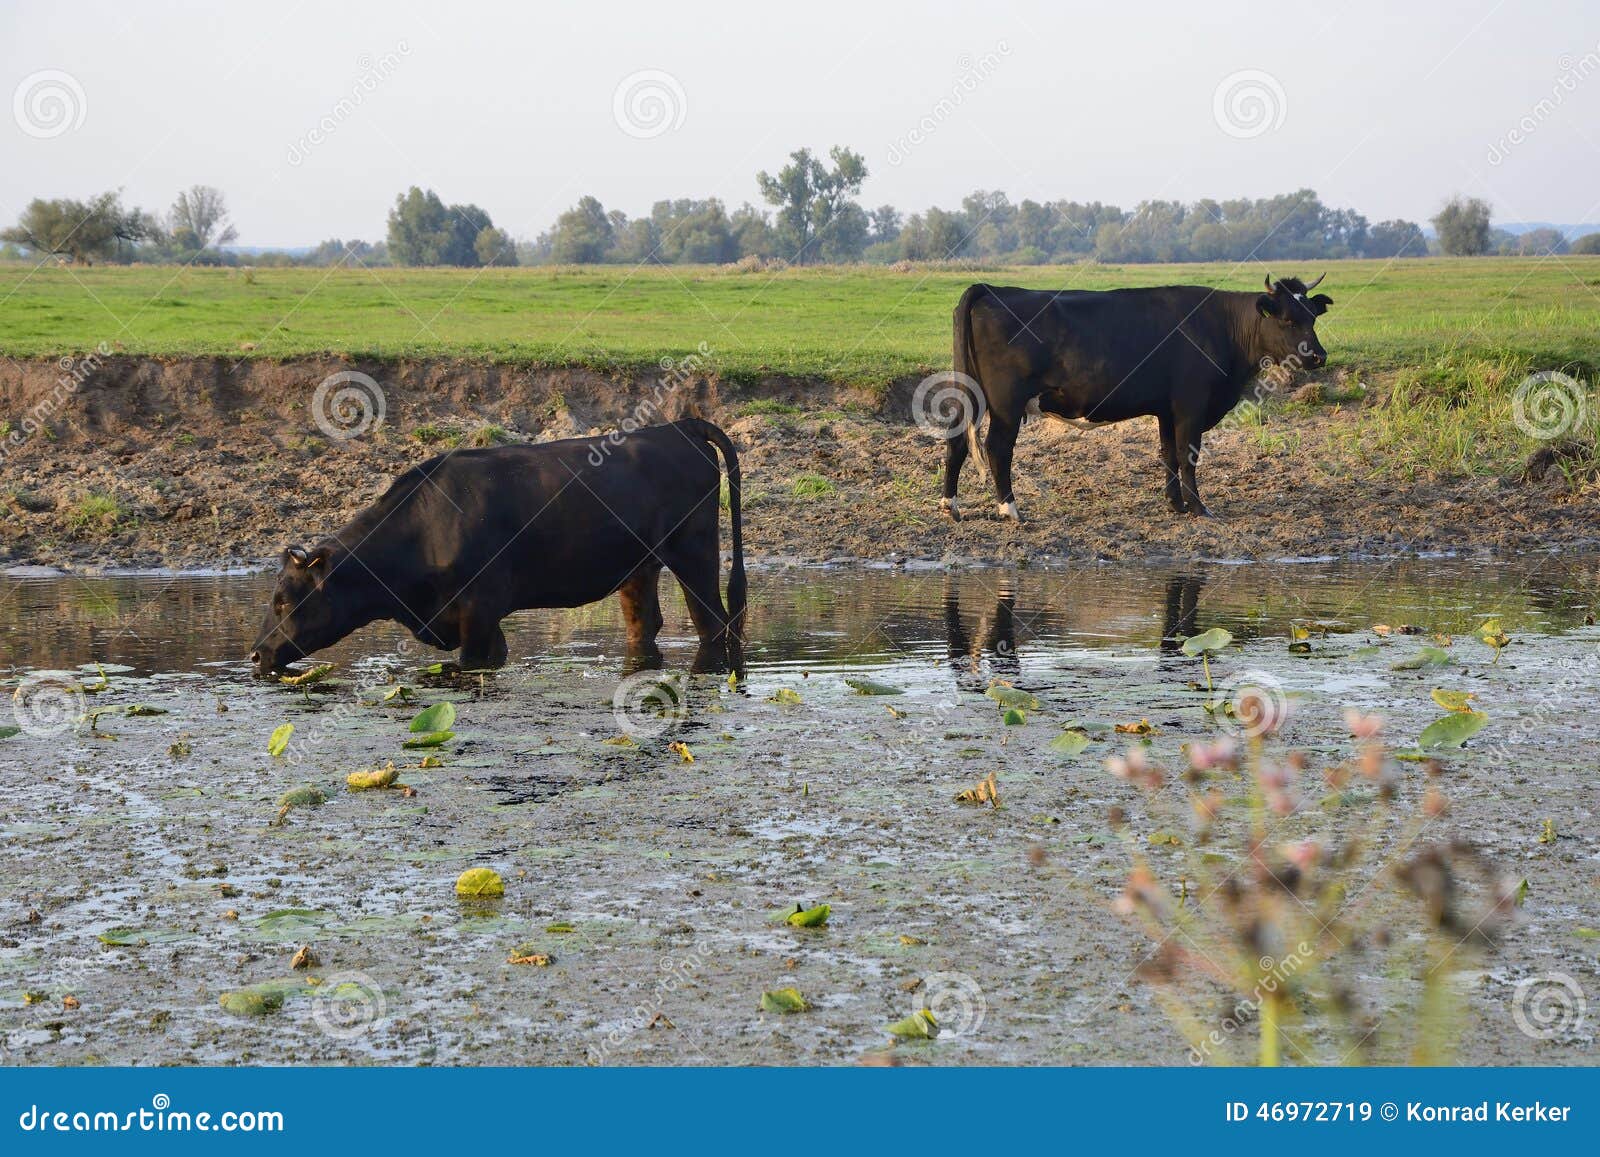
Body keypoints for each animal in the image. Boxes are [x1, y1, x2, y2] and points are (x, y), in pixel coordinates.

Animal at [251, 419, 745, 676]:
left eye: (282, 601)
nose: (256, 653)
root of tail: (676, 427)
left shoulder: (478, 609)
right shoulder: (481, 618)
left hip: (694, 551)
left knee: (713, 621)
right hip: (639, 567)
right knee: (645, 625)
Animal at [939, 274, 1332, 522]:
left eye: (1312, 317)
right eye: (1285, 319)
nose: (1317, 356)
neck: (1222, 326)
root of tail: (992, 289)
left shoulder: (1167, 409)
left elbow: (1169, 454)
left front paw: (1176, 505)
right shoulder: (1191, 405)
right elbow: (1188, 456)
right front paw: (1199, 508)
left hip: (970, 393)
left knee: (957, 442)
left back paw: (951, 506)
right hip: (1006, 404)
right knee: (998, 449)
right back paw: (1010, 510)